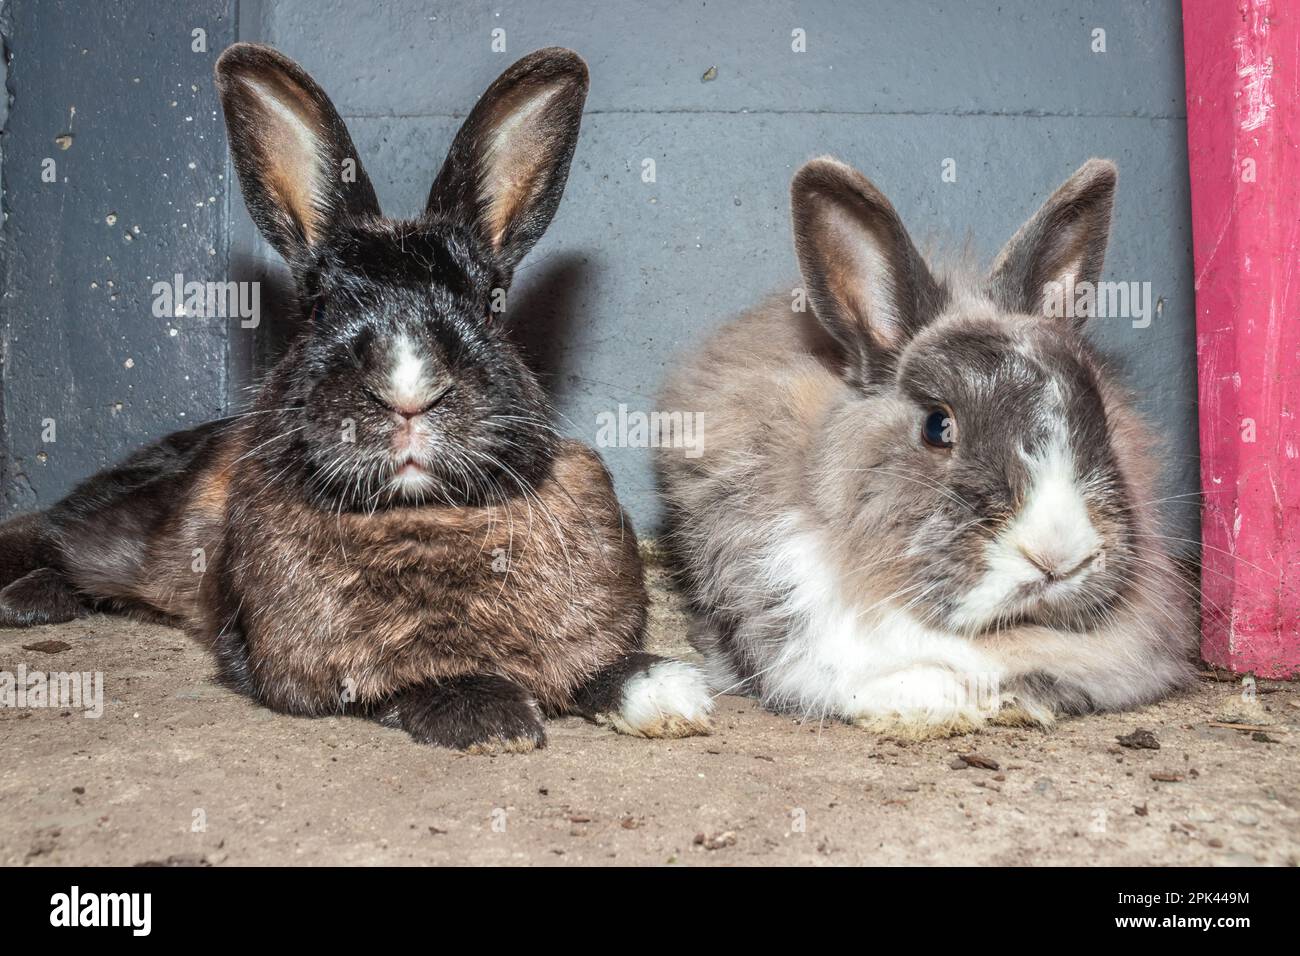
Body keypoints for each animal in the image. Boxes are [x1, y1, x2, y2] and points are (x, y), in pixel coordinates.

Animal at [0, 43, 713, 752]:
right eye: (317, 308)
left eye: (490, 306)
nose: (409, 395)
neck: (426, 514)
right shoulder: (292, 663)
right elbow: (403, 682)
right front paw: (492, 717)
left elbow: (601, 668)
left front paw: (665, 691)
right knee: (53, 536)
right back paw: (27, 600)